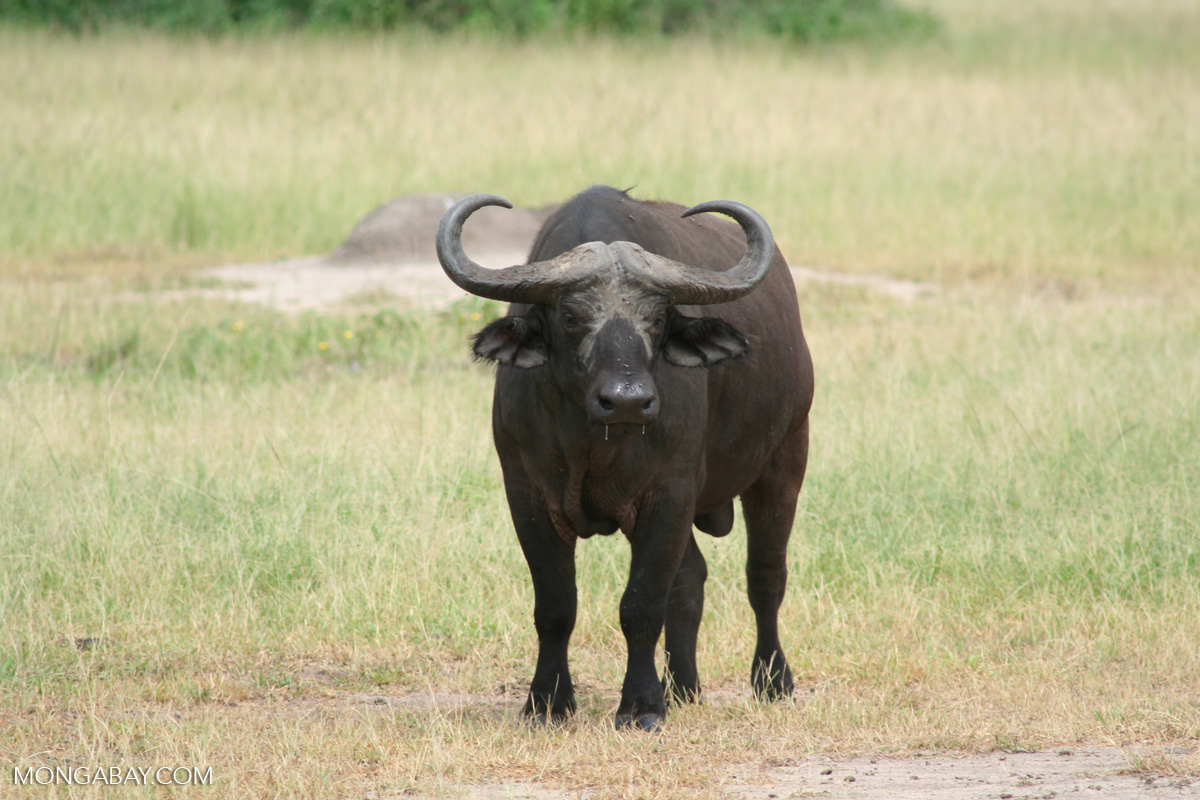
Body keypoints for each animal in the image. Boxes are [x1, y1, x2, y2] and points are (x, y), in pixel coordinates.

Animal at [437, 185, 814, 730]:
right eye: (571, 316)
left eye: (655, 319)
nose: (629, 400)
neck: (590, 440)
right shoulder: (526, 494)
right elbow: (556, 607)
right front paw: (547, 702)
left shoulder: (669, 493)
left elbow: (641, 605)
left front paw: (640, 706)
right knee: (691, 578)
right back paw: (684, 687)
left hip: (785, 458)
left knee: (764, 576)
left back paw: (772, 681)